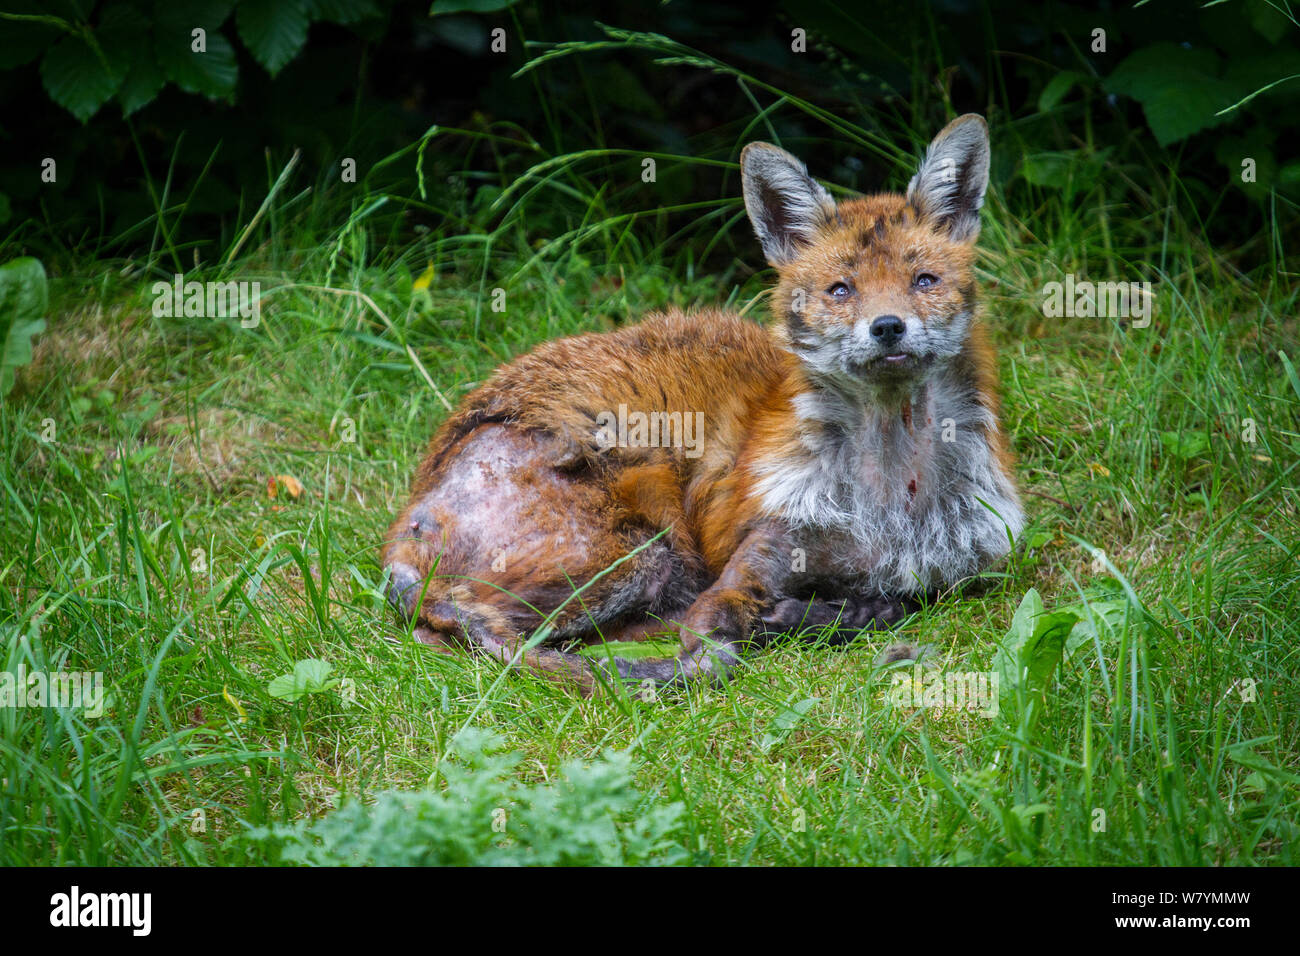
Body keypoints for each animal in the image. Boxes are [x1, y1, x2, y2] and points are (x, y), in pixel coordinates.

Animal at [381, 114, 1024, 695]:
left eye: (924, 281)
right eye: (841, 290)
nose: (887, 327)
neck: (890, 503)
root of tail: (411, 513)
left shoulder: (956, 570)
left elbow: (898, 599)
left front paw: (830, 612)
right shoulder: (759, 553)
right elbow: (710, 643)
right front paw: (779, 626)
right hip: (640, 551)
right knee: (469, 630)